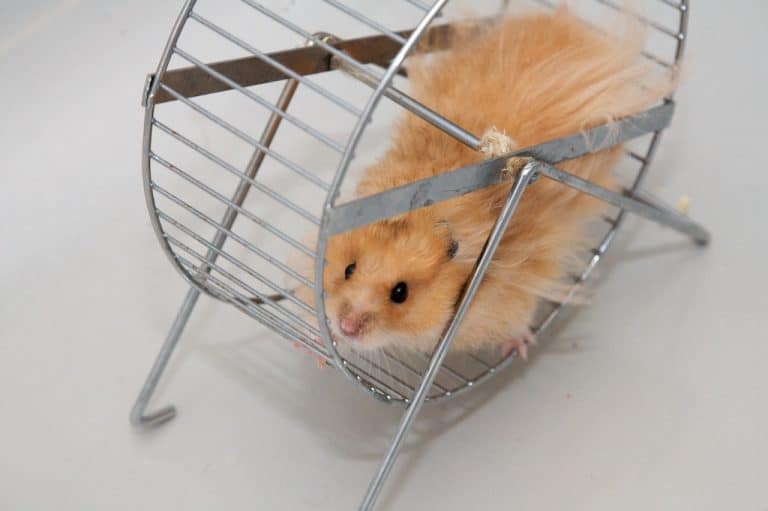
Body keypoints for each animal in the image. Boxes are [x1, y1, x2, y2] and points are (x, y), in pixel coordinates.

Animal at [298, 7, 674, 361]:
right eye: (348, 269)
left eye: (400, 293)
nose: (346, 326)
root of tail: (568, 22)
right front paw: (317, 345)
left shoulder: (523, 281)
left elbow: (520, 319)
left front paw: (519, 348)